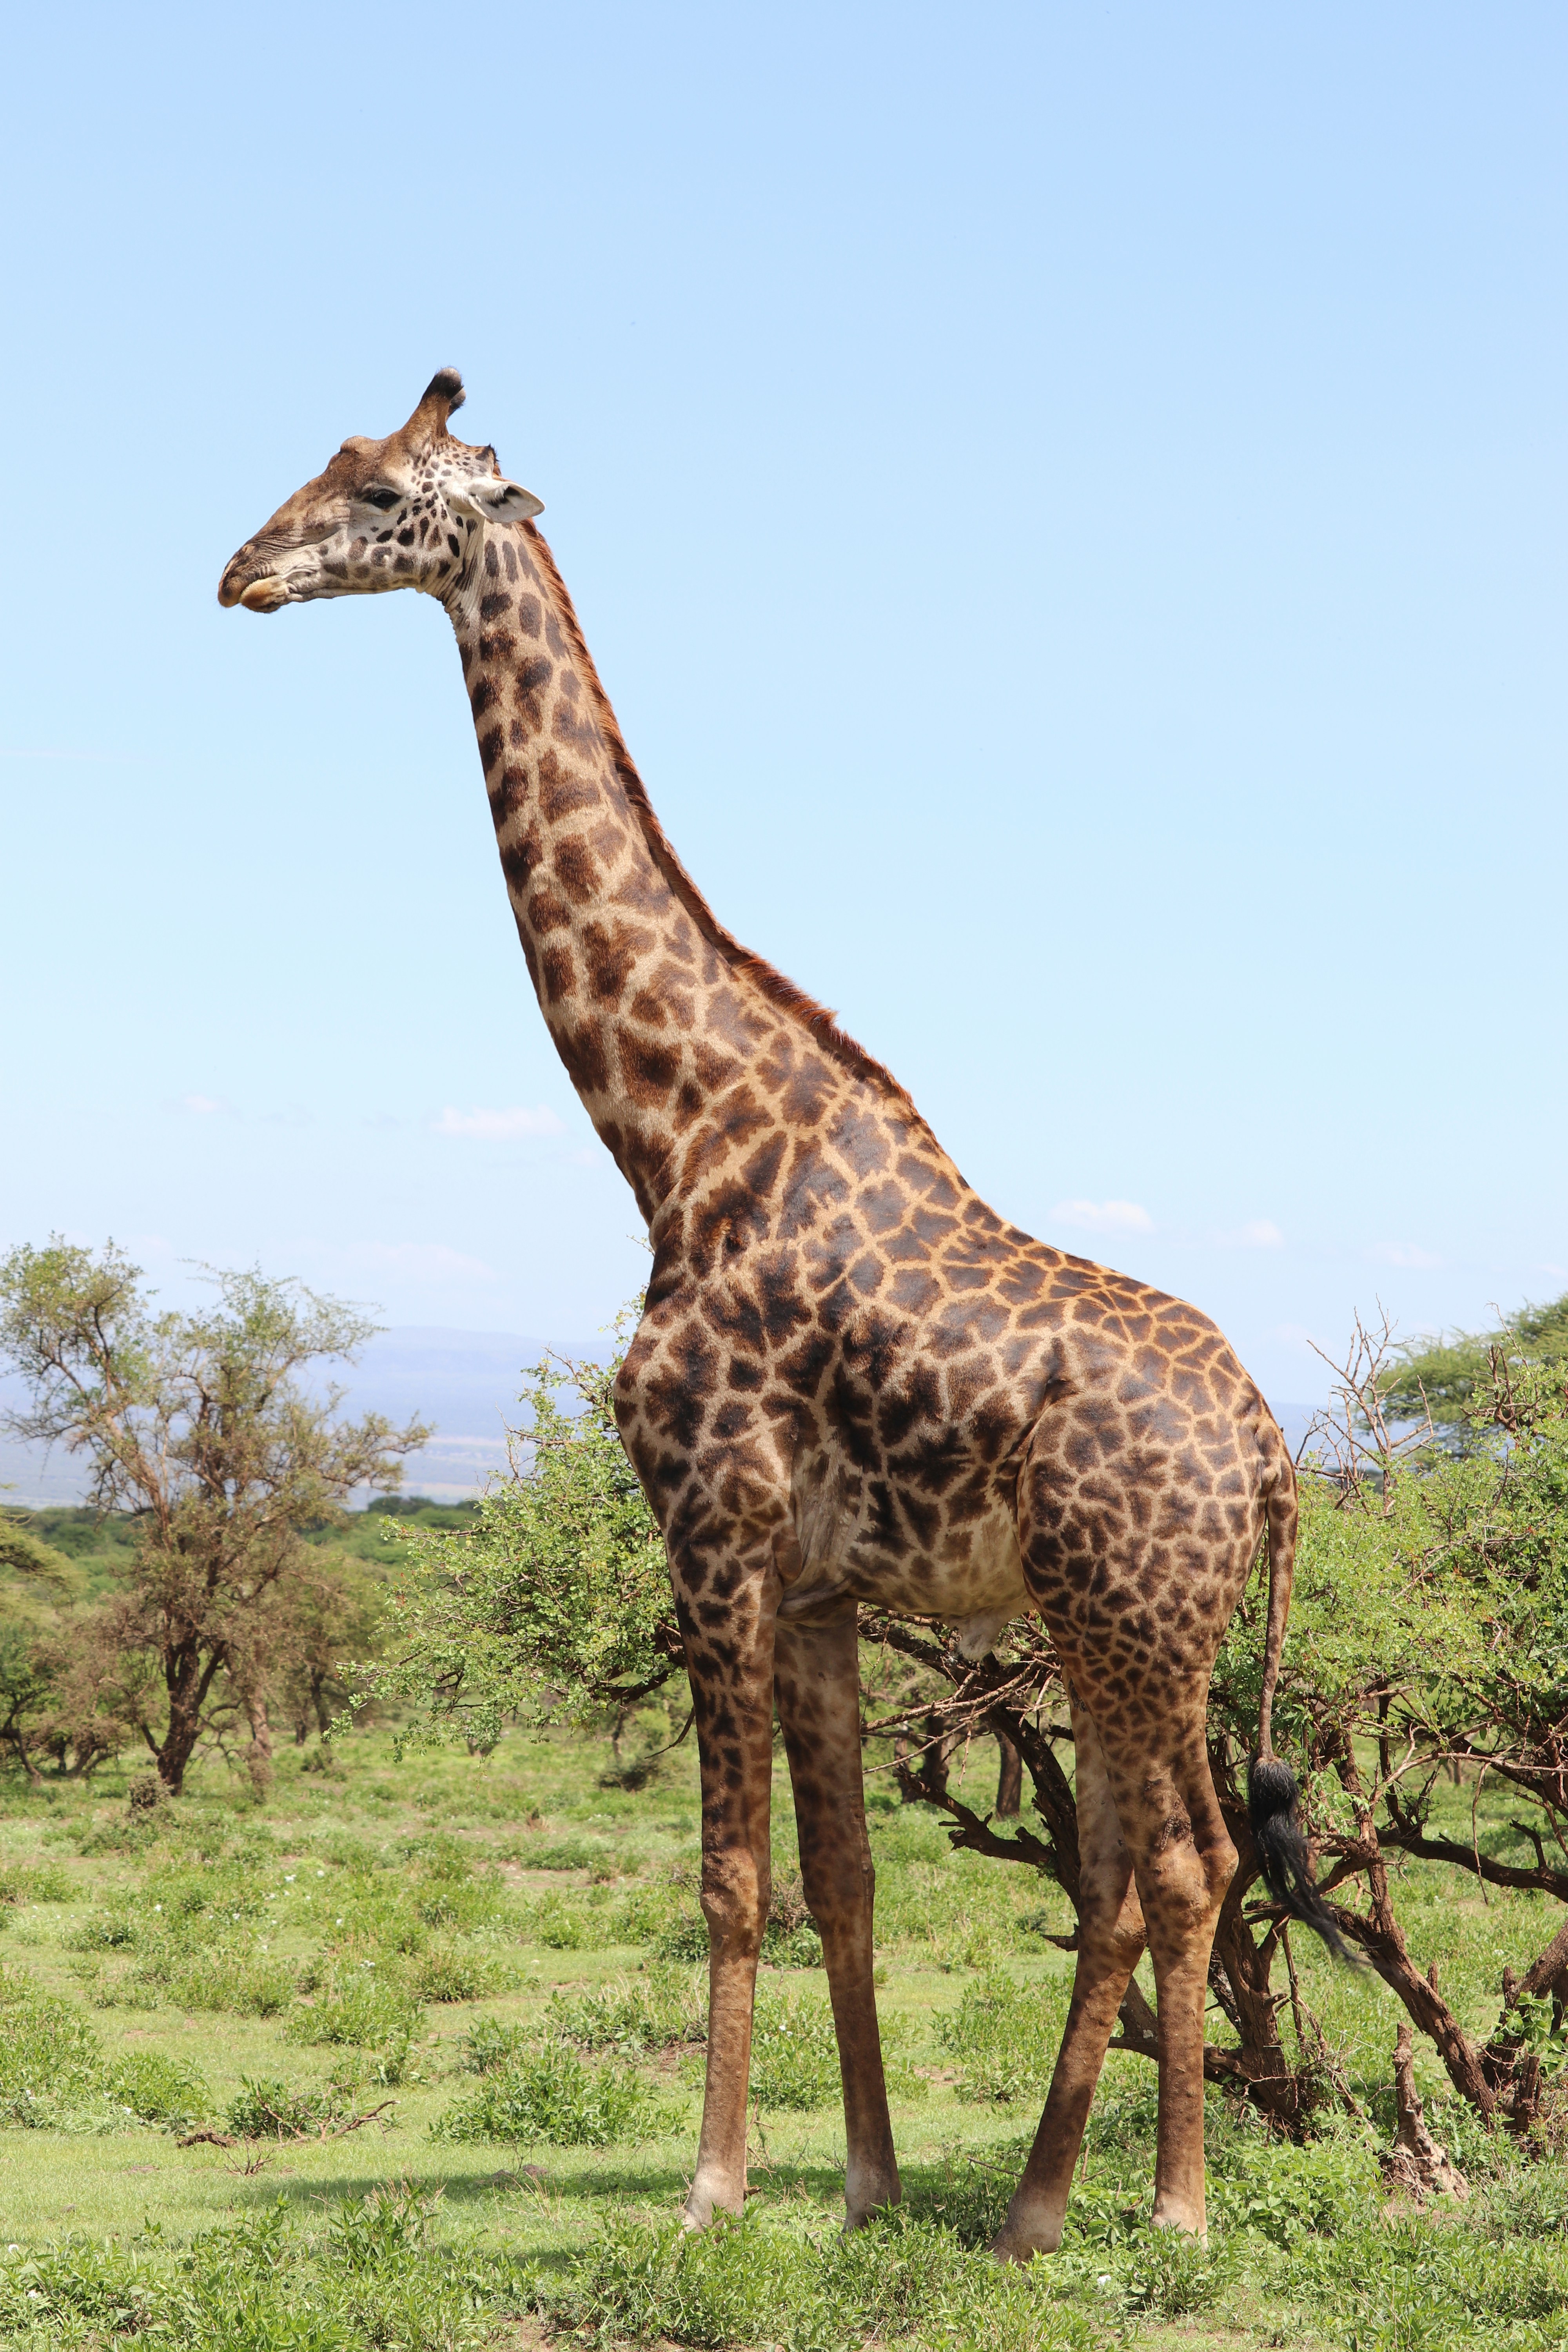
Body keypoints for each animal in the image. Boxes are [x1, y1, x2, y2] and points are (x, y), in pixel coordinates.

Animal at [219, 370, 1337, 2254]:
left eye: (373, 489)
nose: (242, 569)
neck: (675, 1139)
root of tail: (1267, 1459)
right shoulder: (816, 1581)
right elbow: (844, 1877)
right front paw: (868, 2181)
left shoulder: (711, 1530)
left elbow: (728, 1876)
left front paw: (712, 2184)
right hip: (1103, 1622)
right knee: (1124, 1867)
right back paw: (1030, 2204)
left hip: (1135, 1619)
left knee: (1181, 1863)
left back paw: (1172, 2207)